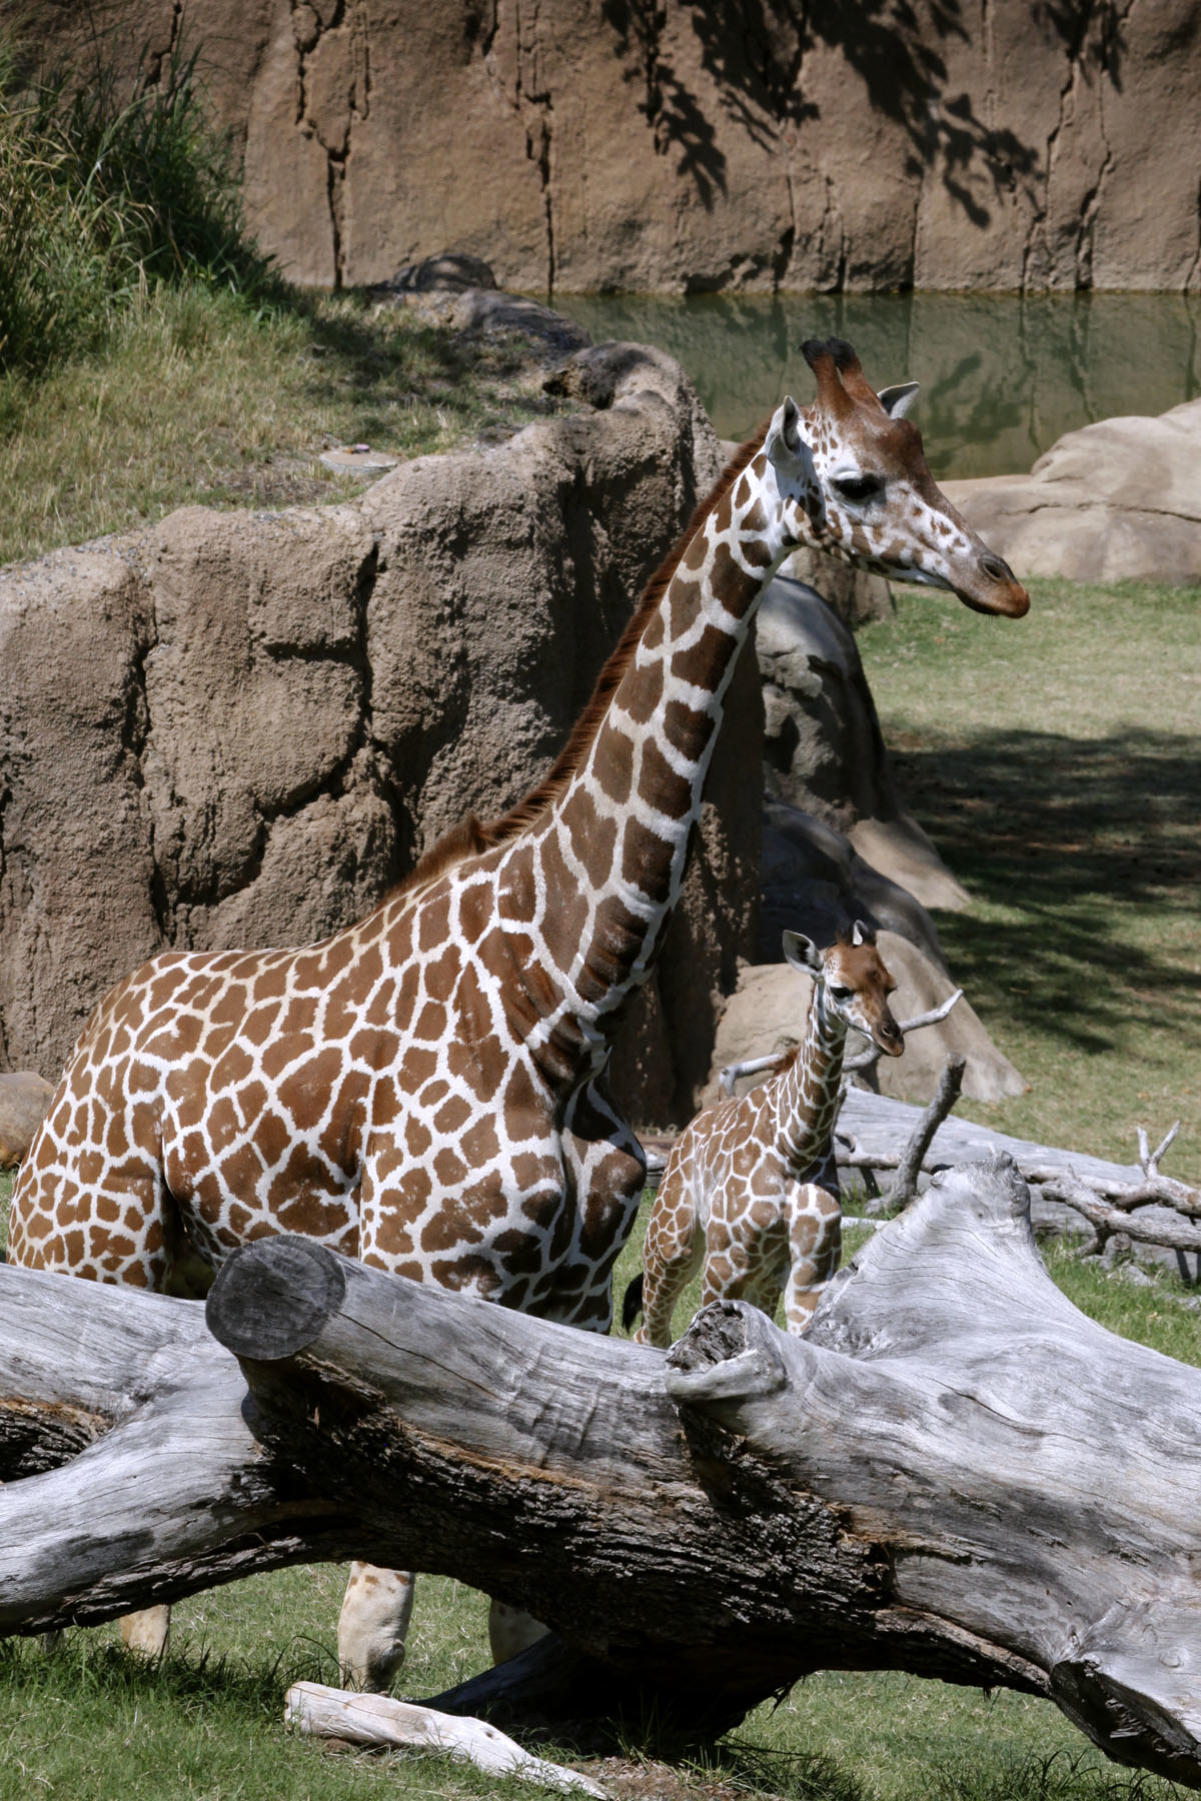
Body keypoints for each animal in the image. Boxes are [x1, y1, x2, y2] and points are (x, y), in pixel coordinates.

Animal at [625, 923, 902, 1348]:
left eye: (890, 986)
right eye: (840, 989)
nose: (893, 1038)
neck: (796, 1144)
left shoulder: (811, 1269)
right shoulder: (725, 1263)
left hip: (765, 1272)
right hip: (672, 1243)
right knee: (649, 1332)